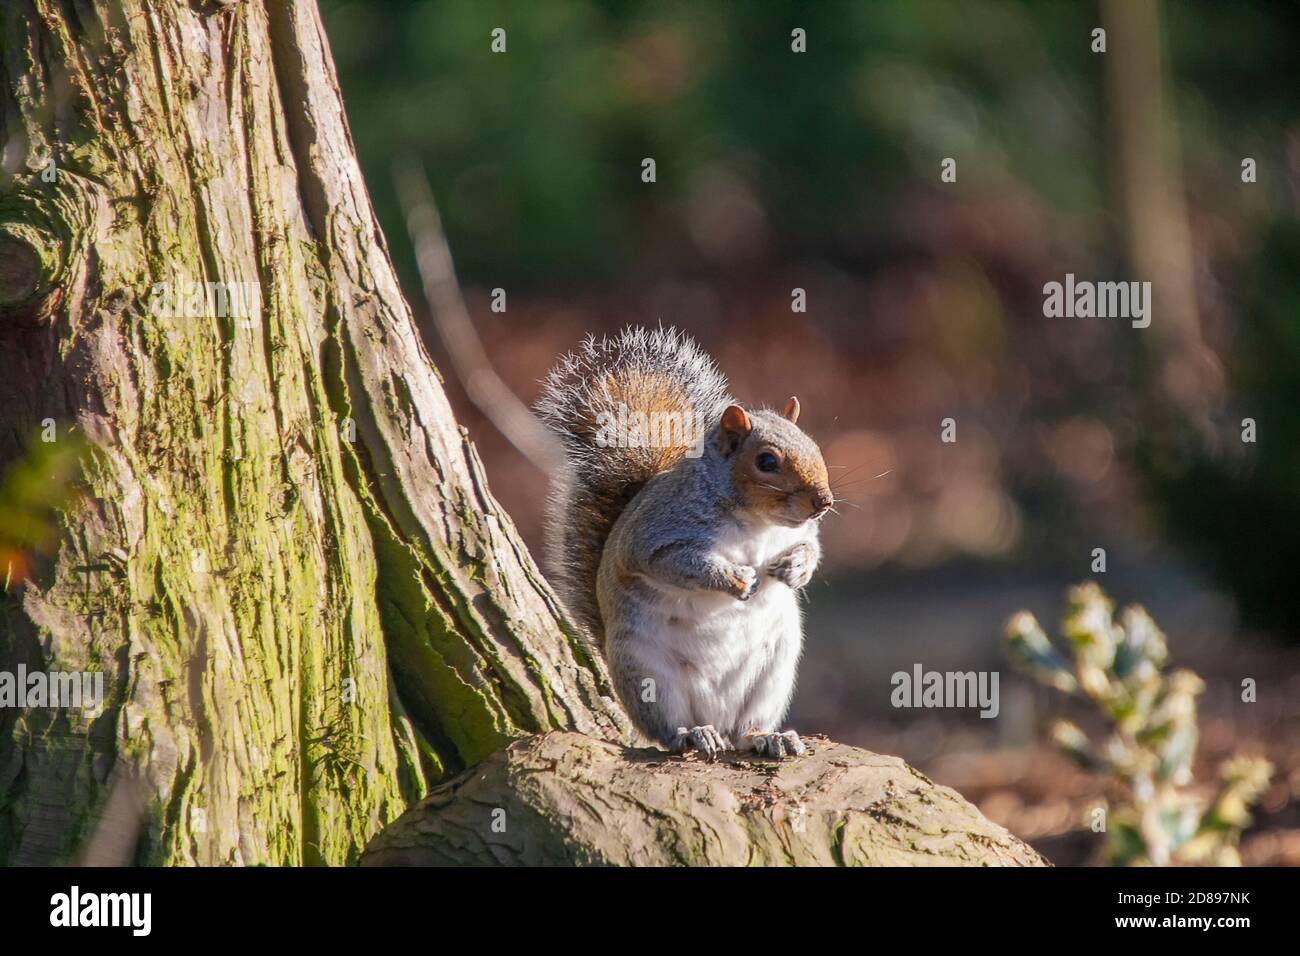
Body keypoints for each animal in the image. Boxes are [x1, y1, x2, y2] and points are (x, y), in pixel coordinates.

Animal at [536, 327, 833, 759]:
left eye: (813, 444)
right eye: (767, 462)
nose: (824, 501)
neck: (757, 523)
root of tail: (717, 715)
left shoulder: (801, 532)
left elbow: (811, 547)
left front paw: (795, 569)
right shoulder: (653, 537)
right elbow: (673, 563)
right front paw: (735, 578)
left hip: (773, 671)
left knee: (745, 728)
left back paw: (766, 736)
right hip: (648, 674)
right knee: (668, 728)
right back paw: (693, 735)